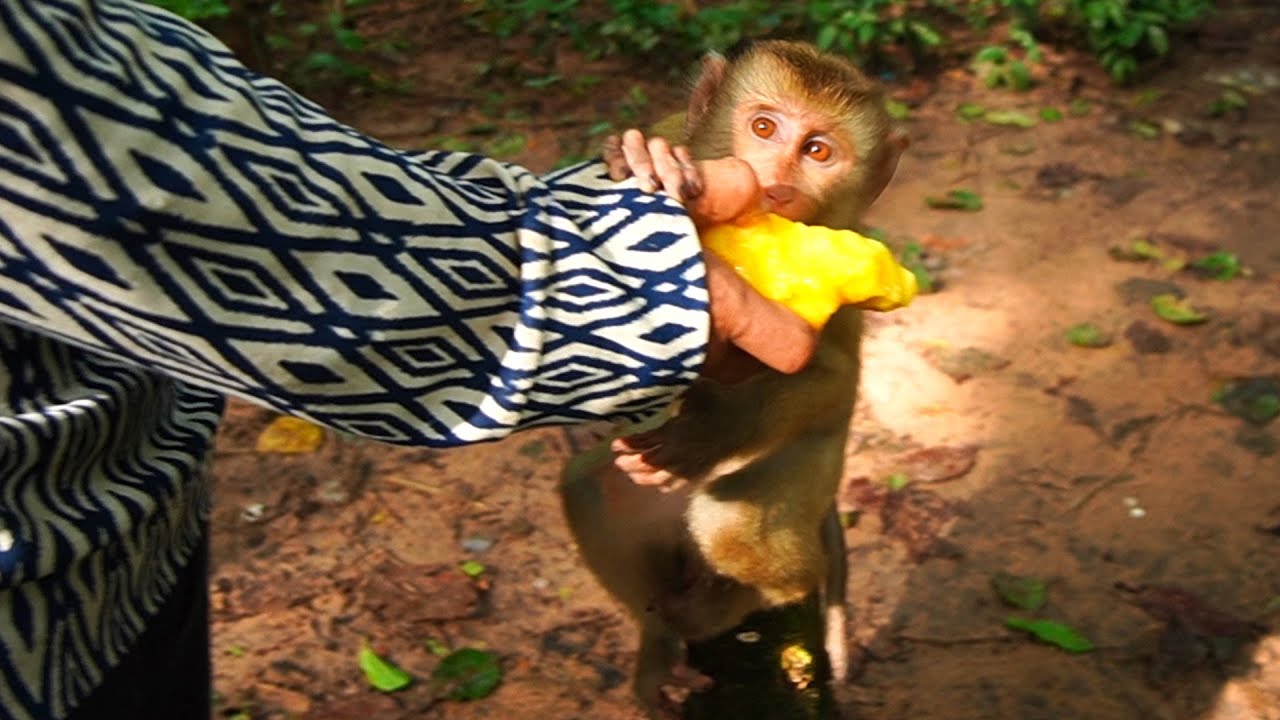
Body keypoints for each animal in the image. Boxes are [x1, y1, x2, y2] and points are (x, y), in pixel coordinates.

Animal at [560, 40, 908, 718]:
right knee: (591, 488)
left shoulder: (848, 251)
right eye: (764, 128)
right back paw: (660, 637)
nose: (773, 187)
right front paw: (638, 161)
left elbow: (828, 377)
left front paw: (706, 434)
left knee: (735, 527)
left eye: (818, 151)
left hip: (811, 484)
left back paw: (754, 595)